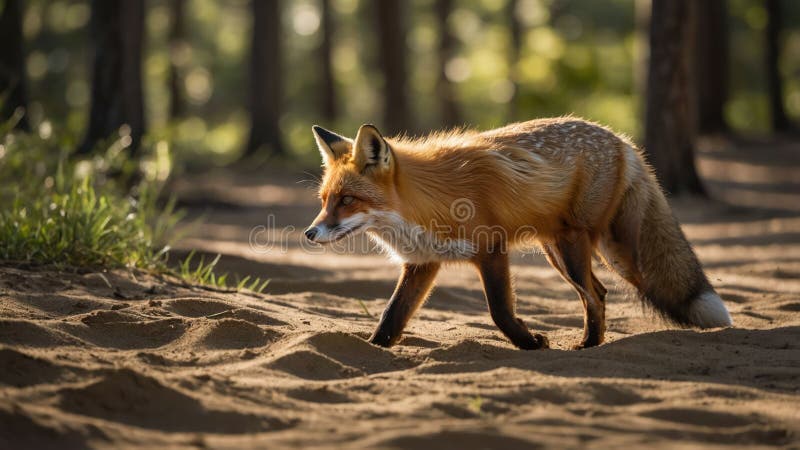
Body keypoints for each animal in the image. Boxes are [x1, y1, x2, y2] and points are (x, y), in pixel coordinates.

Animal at [304, 118, 732, 350]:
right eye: (324, 200)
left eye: (347, 200)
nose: (309, 233)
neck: (425, 202)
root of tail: (621, 140)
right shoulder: (423, 264)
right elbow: (391, 319)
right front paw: (372, 354)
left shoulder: (492, 249)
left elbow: (499, 311)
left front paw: (529, 343)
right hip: (560, 250)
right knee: (598, 292)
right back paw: (591, 343)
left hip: (598, 250)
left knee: (595, 294)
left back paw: (587, 345)